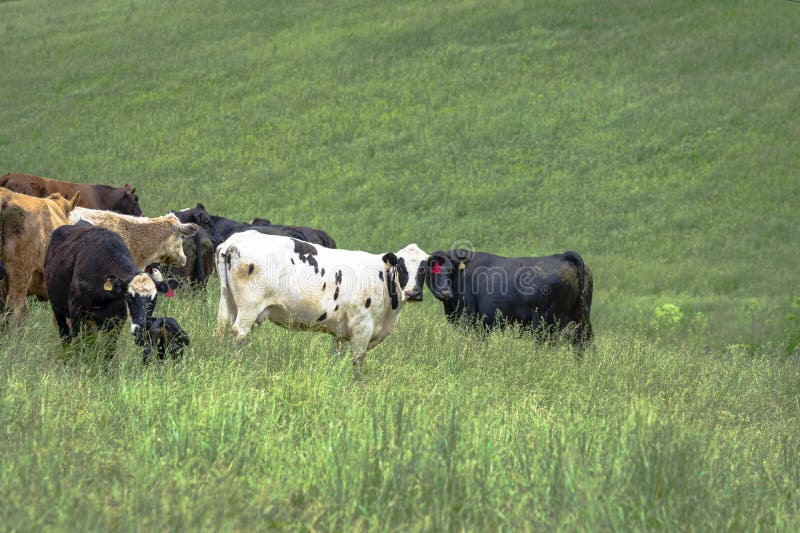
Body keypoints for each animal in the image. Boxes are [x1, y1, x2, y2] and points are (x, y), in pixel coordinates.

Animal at [44, 222, 181, 361]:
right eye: (128, 296)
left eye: (154, 297)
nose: (141, 330)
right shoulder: (77, 313)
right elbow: (79, 346)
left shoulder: (116, 321)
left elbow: (109, 351)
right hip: (58, 311)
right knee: (65, 337)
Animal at [215, 231, 427, 366]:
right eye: (401, 267)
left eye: (424, 268)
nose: (413, 293)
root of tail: (235, 240)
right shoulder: (361, 327)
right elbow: (357, 364)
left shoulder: (341, 333)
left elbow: (338, 360)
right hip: (249, 308)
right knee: (240, 333)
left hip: (227, 301)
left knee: (222, 329)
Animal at [425, 249, 593, 354]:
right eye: (432, 270)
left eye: (450, 270)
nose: (445, 292)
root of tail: (562, 256)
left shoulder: (470, 317)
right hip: (581, 321)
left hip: (545, 324)